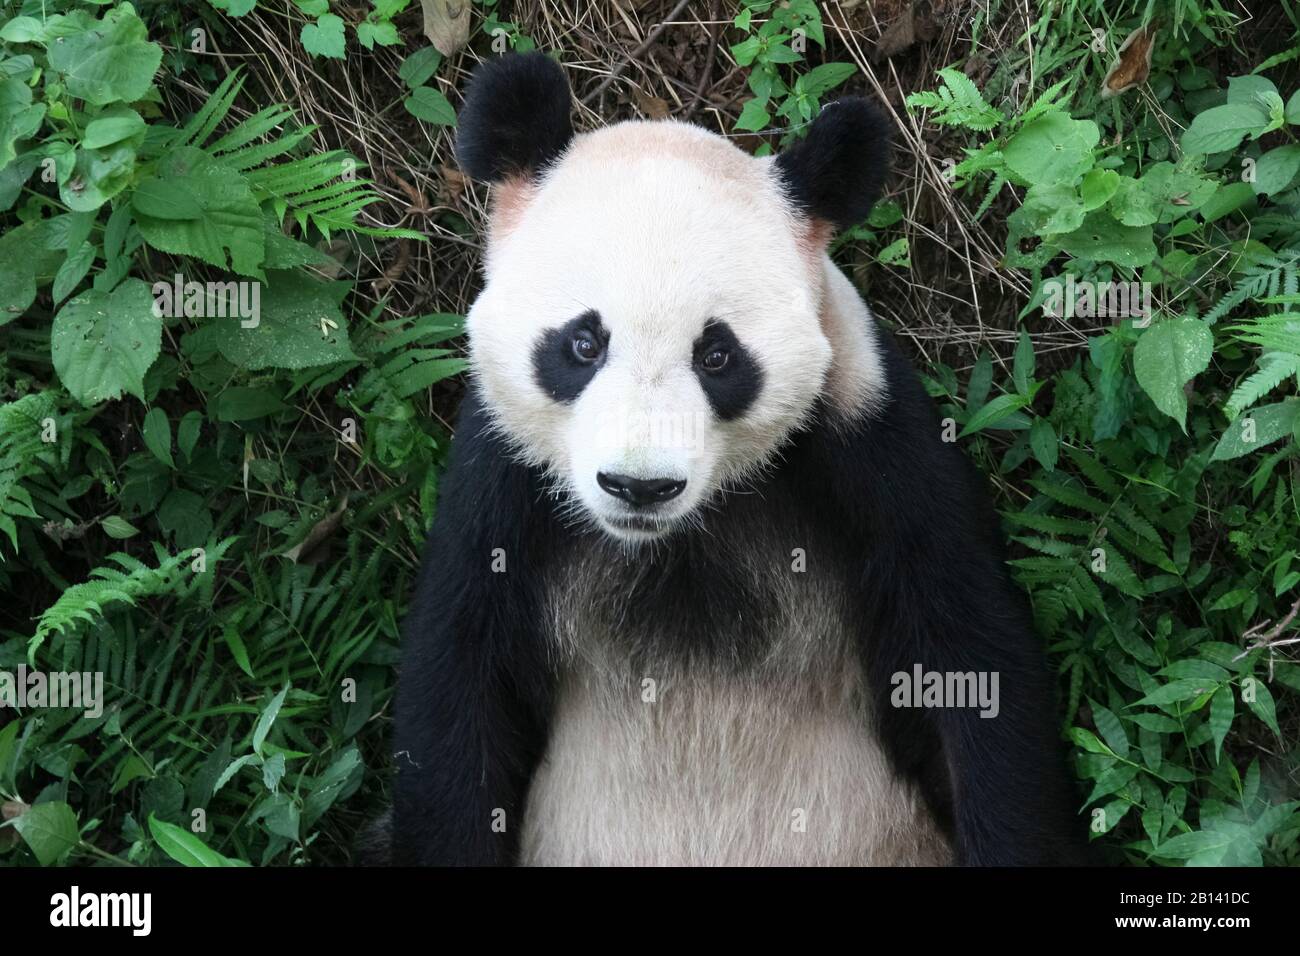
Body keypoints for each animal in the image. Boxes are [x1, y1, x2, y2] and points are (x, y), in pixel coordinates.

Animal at [378, 52, 1086, 866]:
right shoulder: (500, 480)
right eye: (583, 343)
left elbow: (966, 662)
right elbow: (461, 693)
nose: (640, 486)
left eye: (717, 355)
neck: (671, 542)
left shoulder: (868, 441)